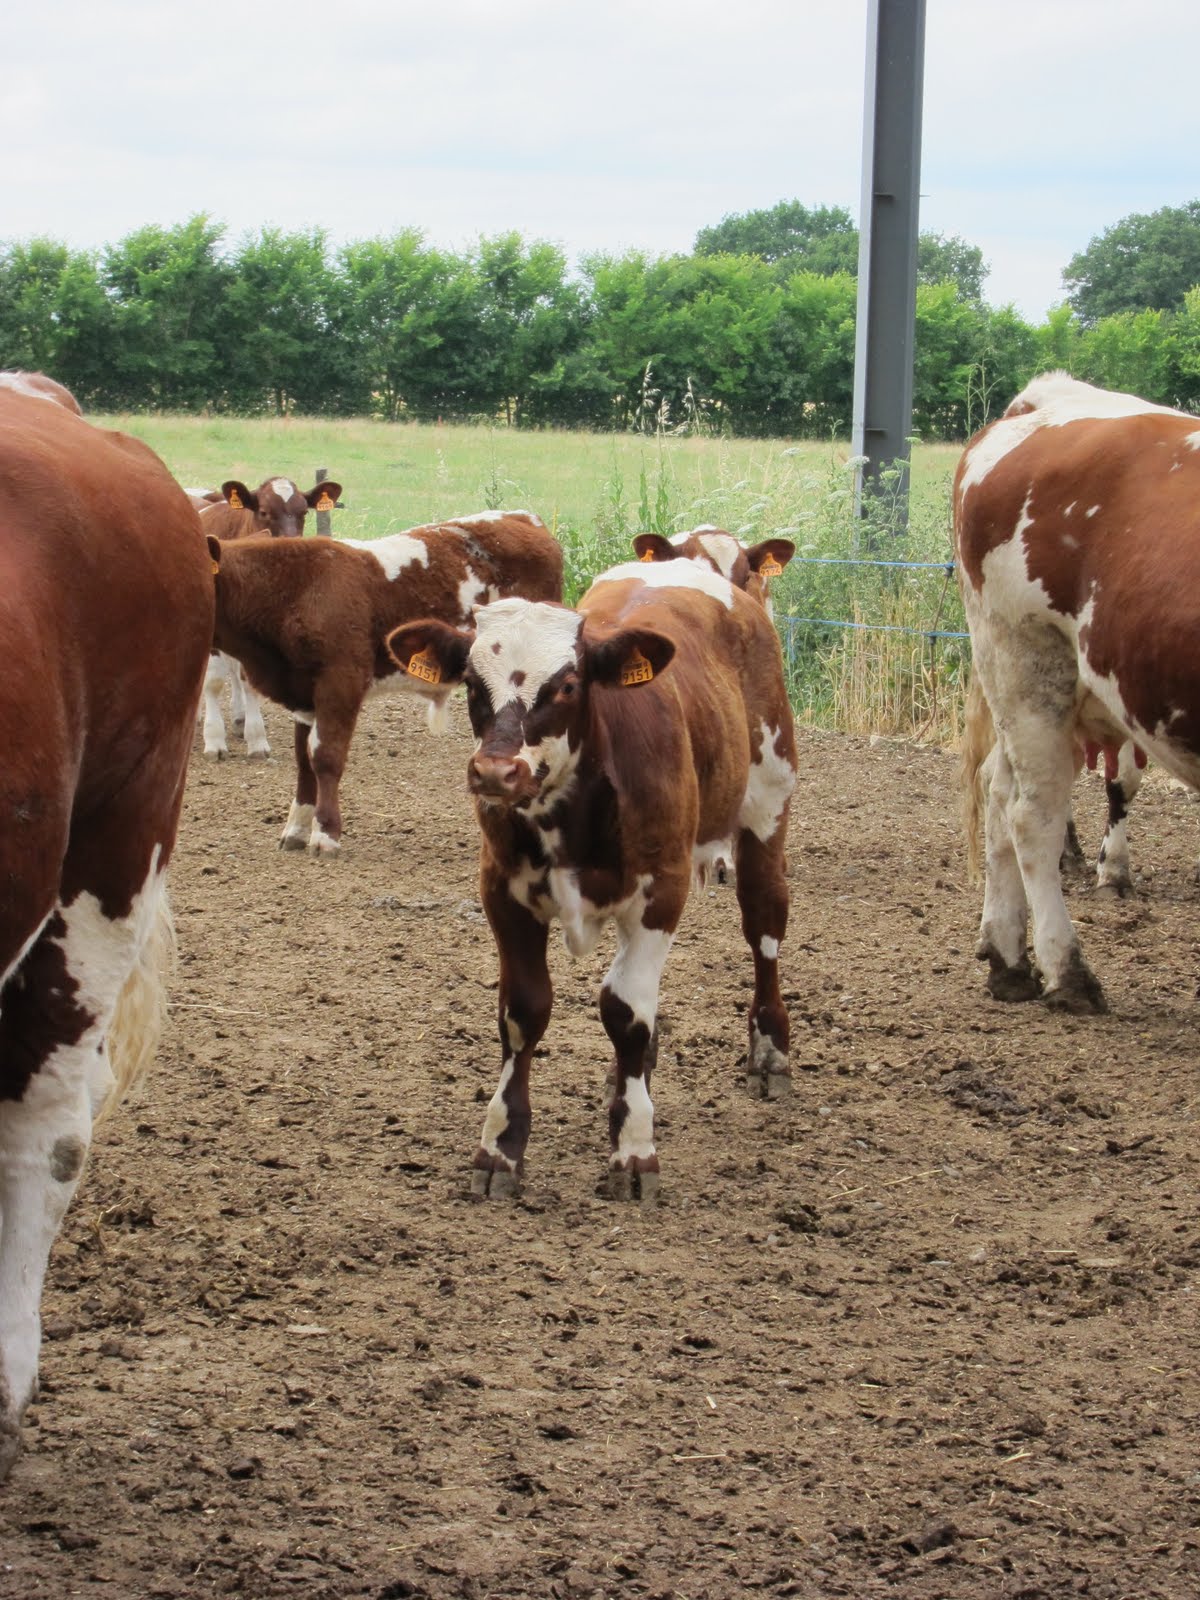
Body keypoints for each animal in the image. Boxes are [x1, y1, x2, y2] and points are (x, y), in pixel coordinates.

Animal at [199, 477, 342, 760]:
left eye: (304, 512)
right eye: (264, 512)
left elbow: (248, 679)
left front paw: (256, 739)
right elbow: (214, 681)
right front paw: (214, 740)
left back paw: (240, 718)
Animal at [207, 510, 563, 855]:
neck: (297, 588)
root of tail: (524, 519)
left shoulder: (341, 683)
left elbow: (325, 757)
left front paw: (325, 833)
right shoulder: (303, 693)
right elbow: (303, 760)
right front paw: (295, 828)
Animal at [386, 557, 797, 1199]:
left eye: (567, 685)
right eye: (473, 684)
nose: (495, 772)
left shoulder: (662, 889)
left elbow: (625, 1011)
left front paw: (634, 1149)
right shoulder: (502, 892)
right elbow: (523, 1011)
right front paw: (500, 1148)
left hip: (767, 802)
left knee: (764, 922)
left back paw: (770, 1051)